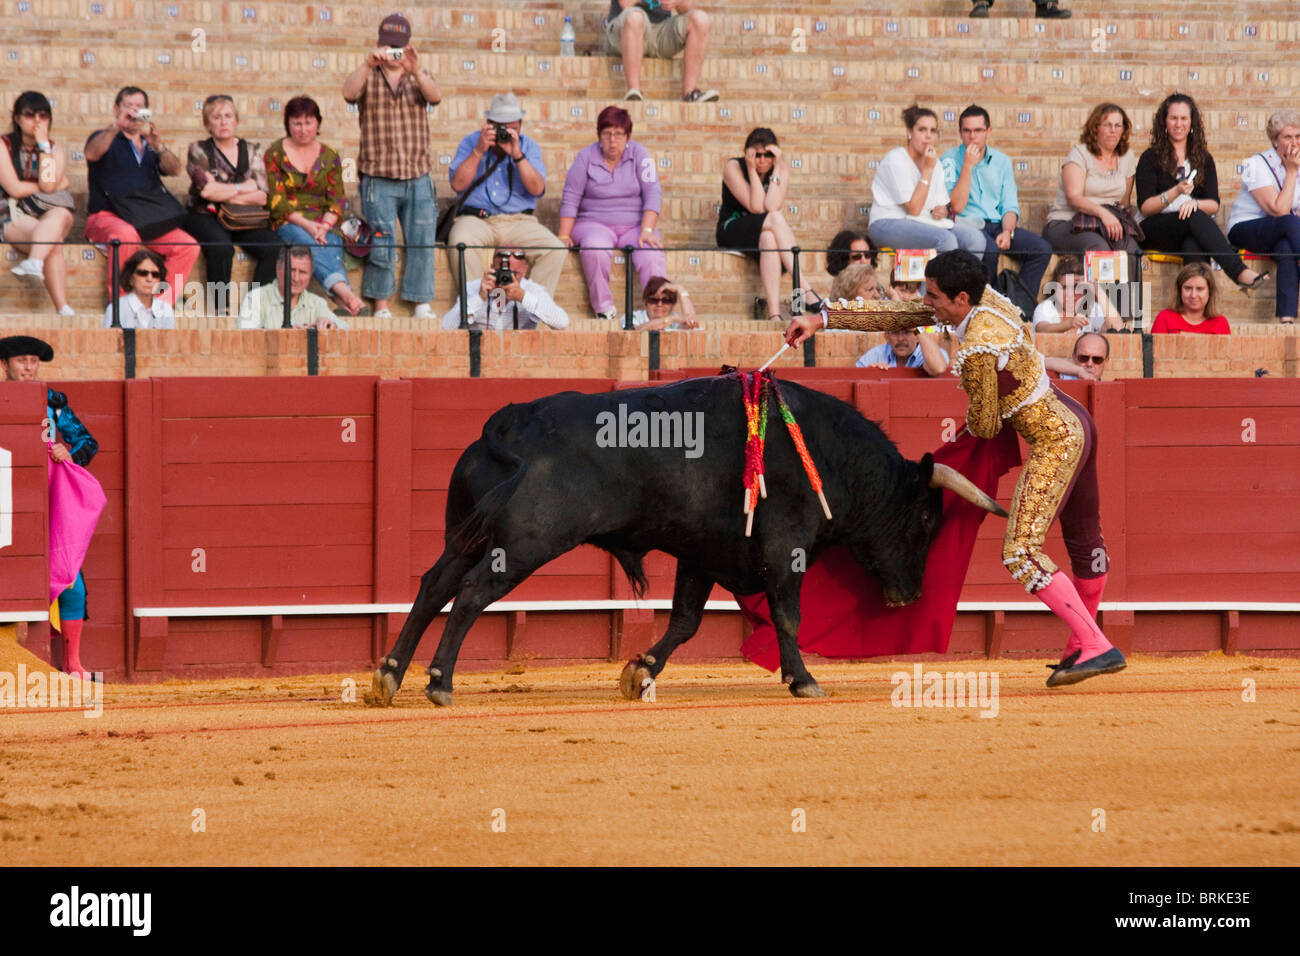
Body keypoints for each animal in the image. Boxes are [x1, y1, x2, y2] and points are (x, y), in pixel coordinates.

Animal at [368, 373, 1004, 707]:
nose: (910, 596)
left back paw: (390, 677)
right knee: (472, 594)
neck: (831, 458)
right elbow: (788, 615)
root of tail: (509, 420)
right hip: (523, 544)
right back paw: (439, 683)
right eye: (926, 523)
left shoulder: (701, 554)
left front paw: (639, 672)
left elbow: (685, 621)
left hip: (466, 534)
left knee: (434, 585)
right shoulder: (786, 548)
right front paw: (804, 680)